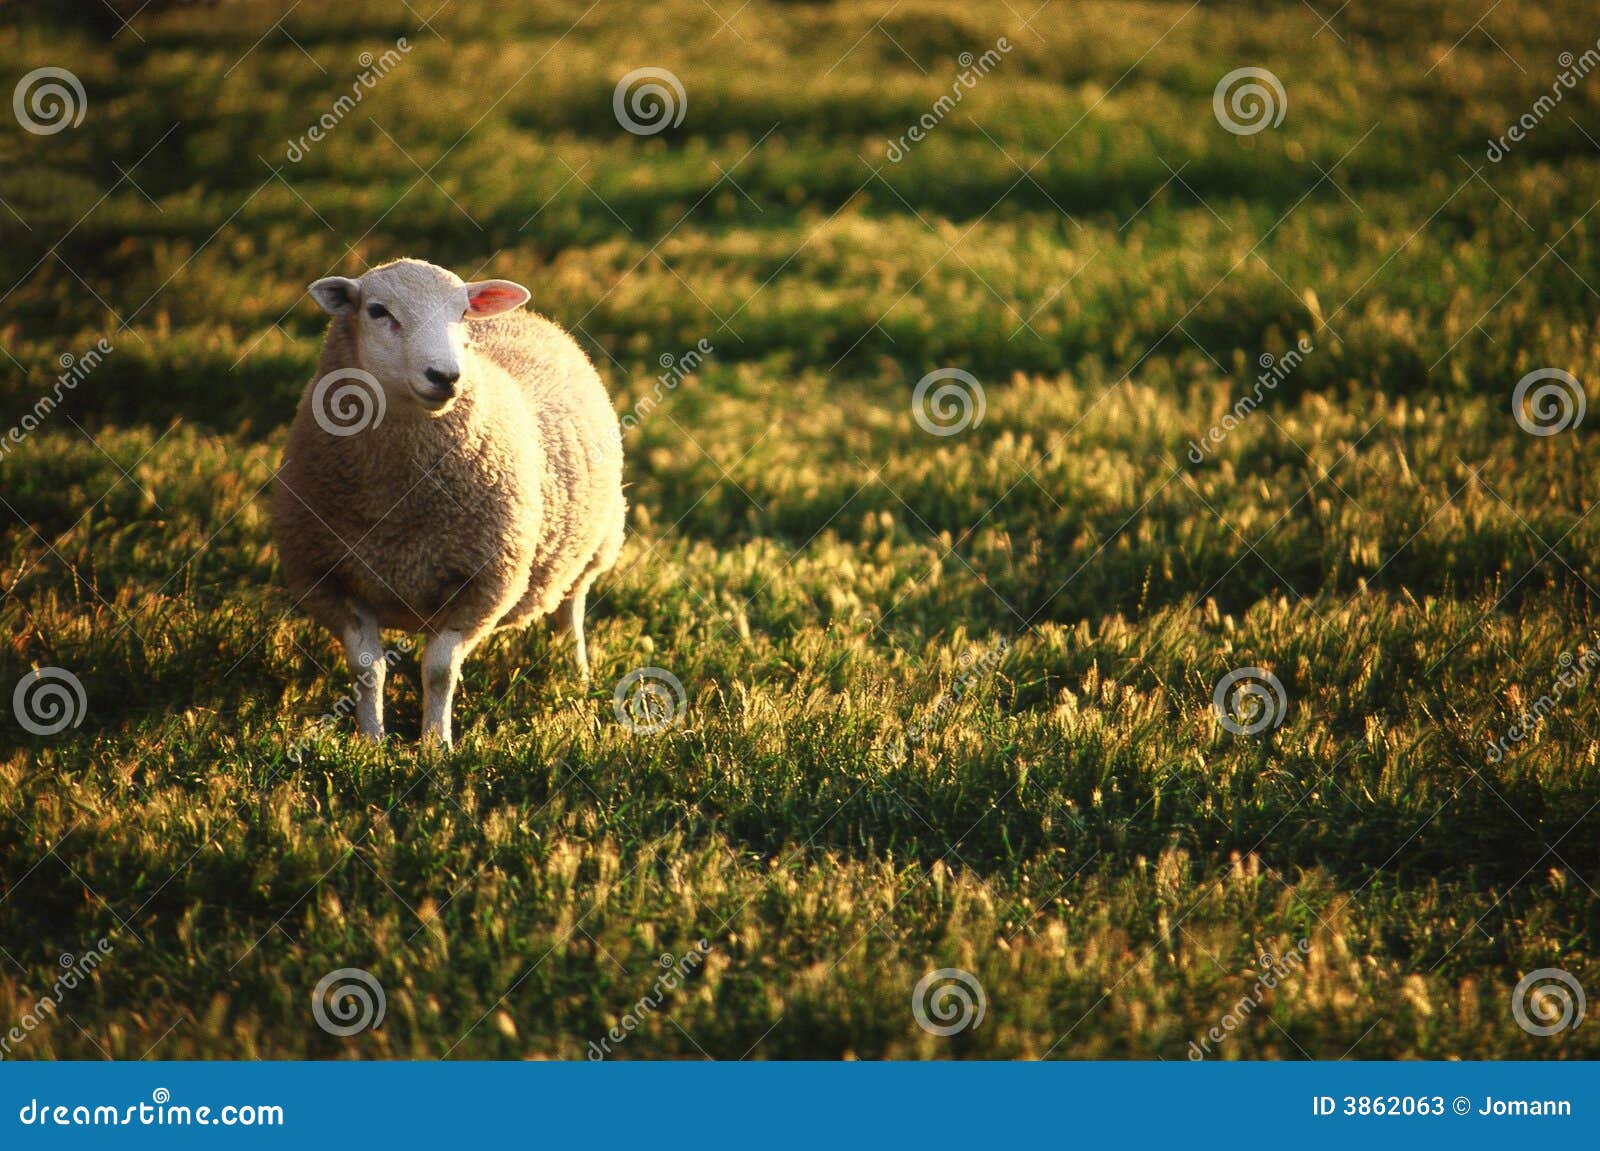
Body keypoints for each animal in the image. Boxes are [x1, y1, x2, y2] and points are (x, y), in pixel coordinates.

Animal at [272, 258, 625, 747]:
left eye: (461, 312)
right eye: (377, 311)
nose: (446, 376)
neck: (398, 506)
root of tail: (530, 317)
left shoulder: (484, 583)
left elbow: (439, 671)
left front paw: (436, 745)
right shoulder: (325, 577)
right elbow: (367, 671)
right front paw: (372, 741)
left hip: (595, 544)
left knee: (570, 609)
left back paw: (576, 675)